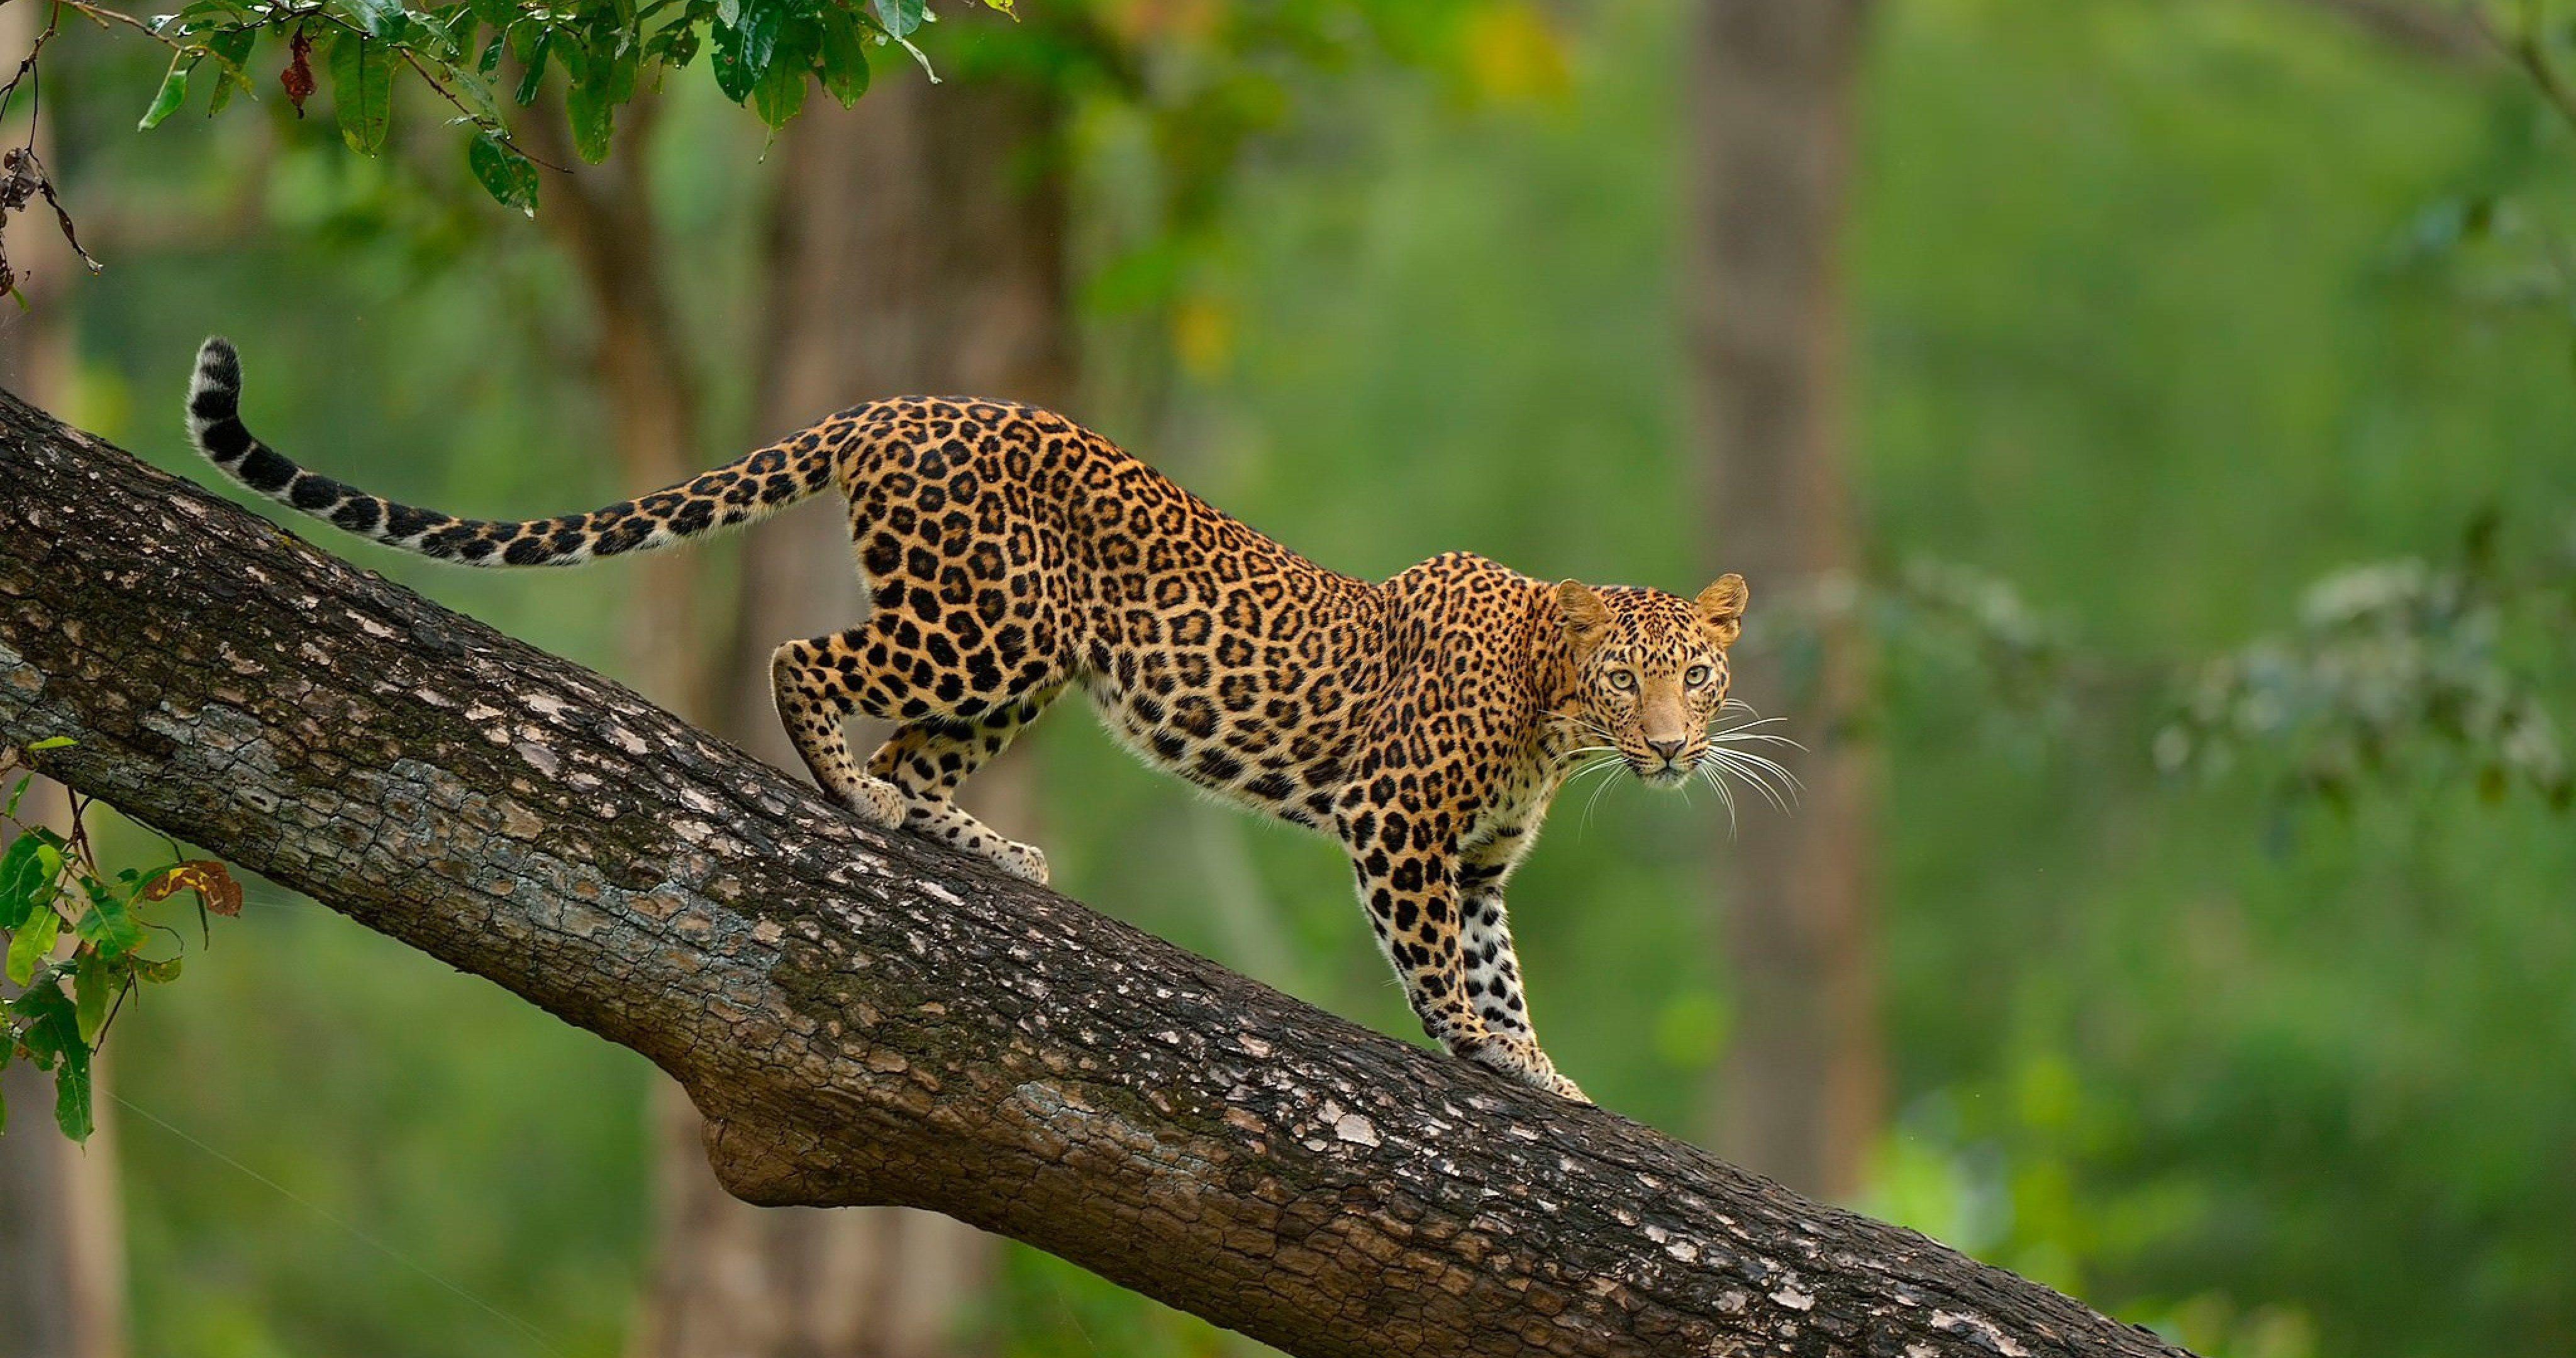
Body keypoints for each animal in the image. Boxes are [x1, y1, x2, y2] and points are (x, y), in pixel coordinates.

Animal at [182, 336, 1762, 1102]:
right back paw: (855, 798)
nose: (1672, 748)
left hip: (1025, 664)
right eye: (1624, 676)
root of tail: (894, 407)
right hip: (983, 623)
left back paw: (979, 846)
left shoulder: (1476, 862)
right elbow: (1441, 969)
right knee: (805, 660)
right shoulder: (1398, 828)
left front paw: (1545, 1070)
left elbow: (1499, 965)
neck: (1553, 720)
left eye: (1697, 675)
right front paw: (1483, 1053)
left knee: (907, 738)